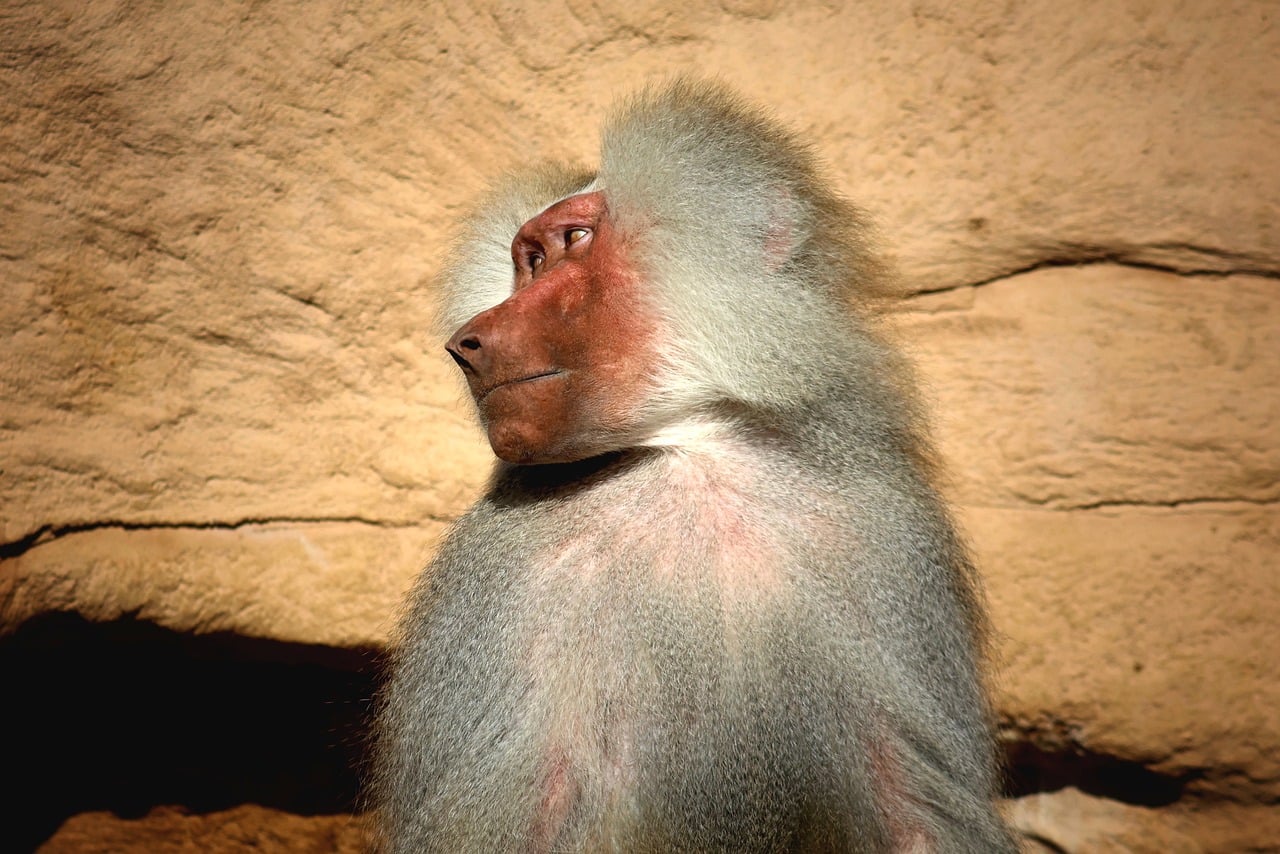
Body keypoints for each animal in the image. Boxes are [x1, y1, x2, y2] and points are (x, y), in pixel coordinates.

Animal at [371, 78, 1019, 853]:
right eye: (527, 260)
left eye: (572, 242)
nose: (465, 343)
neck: (692, 455)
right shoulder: (505, 578)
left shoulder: (881, 536)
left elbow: (911, 806)